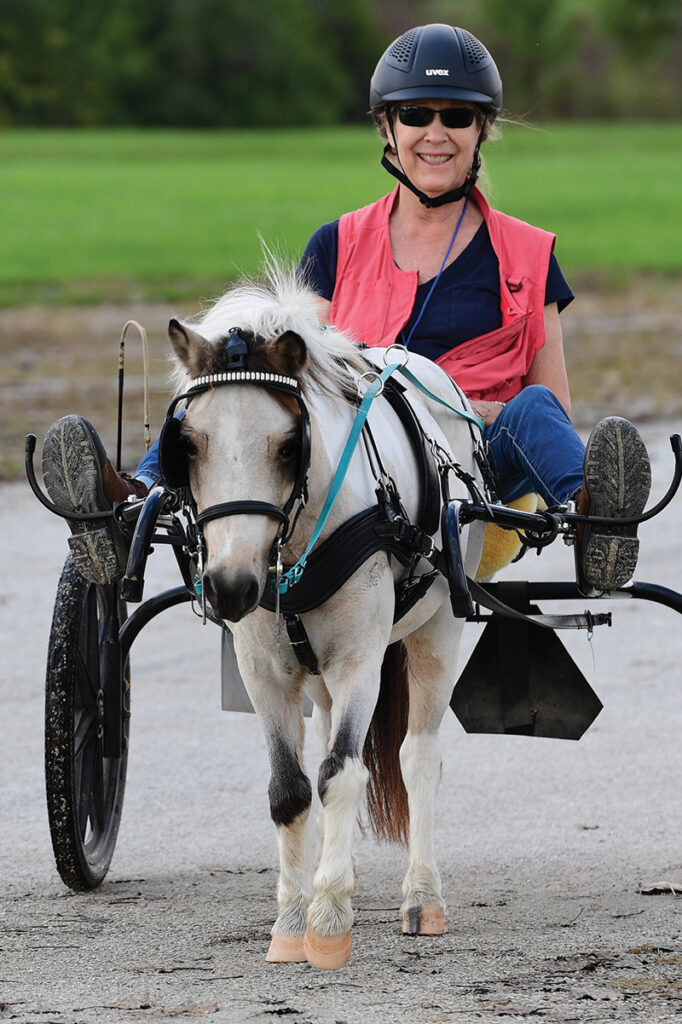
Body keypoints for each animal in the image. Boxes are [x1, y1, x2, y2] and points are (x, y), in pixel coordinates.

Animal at [165, 262, 486, 969]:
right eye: (189, 445)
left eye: (289, 446)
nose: (230, 584)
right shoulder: (264, 669)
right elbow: (290, 790)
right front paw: (293, 918)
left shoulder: (360, 657)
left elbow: (342, 774)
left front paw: (329, 920)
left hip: (437, 631)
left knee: (417, 757)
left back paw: (421, 896)